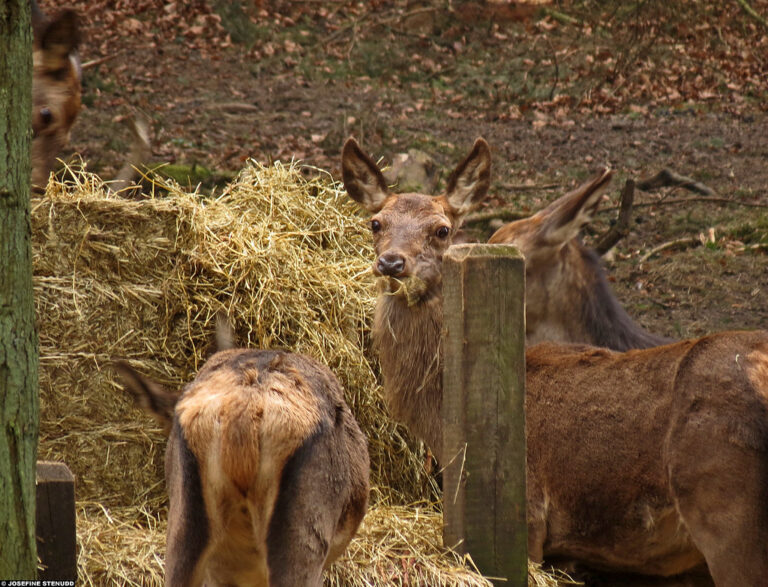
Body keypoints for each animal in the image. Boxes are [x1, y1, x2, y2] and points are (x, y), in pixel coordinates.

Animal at [342, 136, 768, 586]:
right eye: (376, 223)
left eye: (442, 230)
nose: (392, 263)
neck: (445, 426)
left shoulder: (527, 519)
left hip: (725, 508)